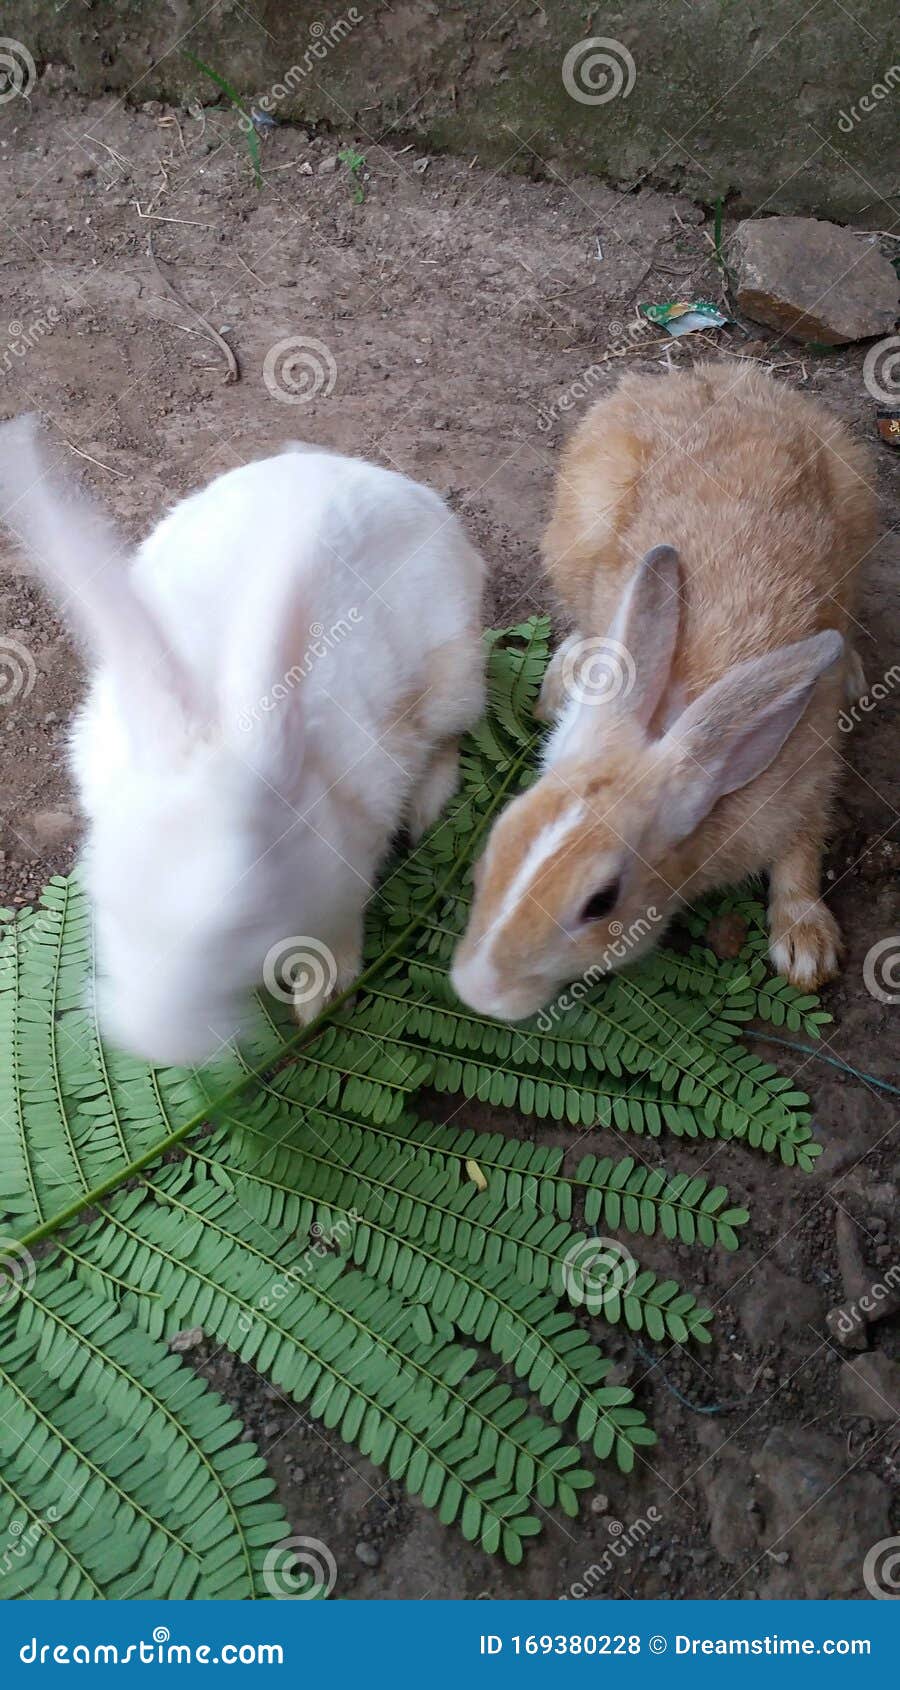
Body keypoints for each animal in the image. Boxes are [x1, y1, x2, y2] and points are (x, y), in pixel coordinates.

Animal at [0, 416, 485, 1066]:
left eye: (241, 923)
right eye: (107, 903)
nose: (154, 1042)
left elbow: (337, 938)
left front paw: (320, 996)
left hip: (456, 675)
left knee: (452, 735)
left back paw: (428, 805)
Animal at [451, 361, 876, 1023]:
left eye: (601, 902)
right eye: (503, 836)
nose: (477, 991)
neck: (668, 726)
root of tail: (705, 377)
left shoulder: (806, 770)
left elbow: (802, 851)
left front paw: (806, 951)